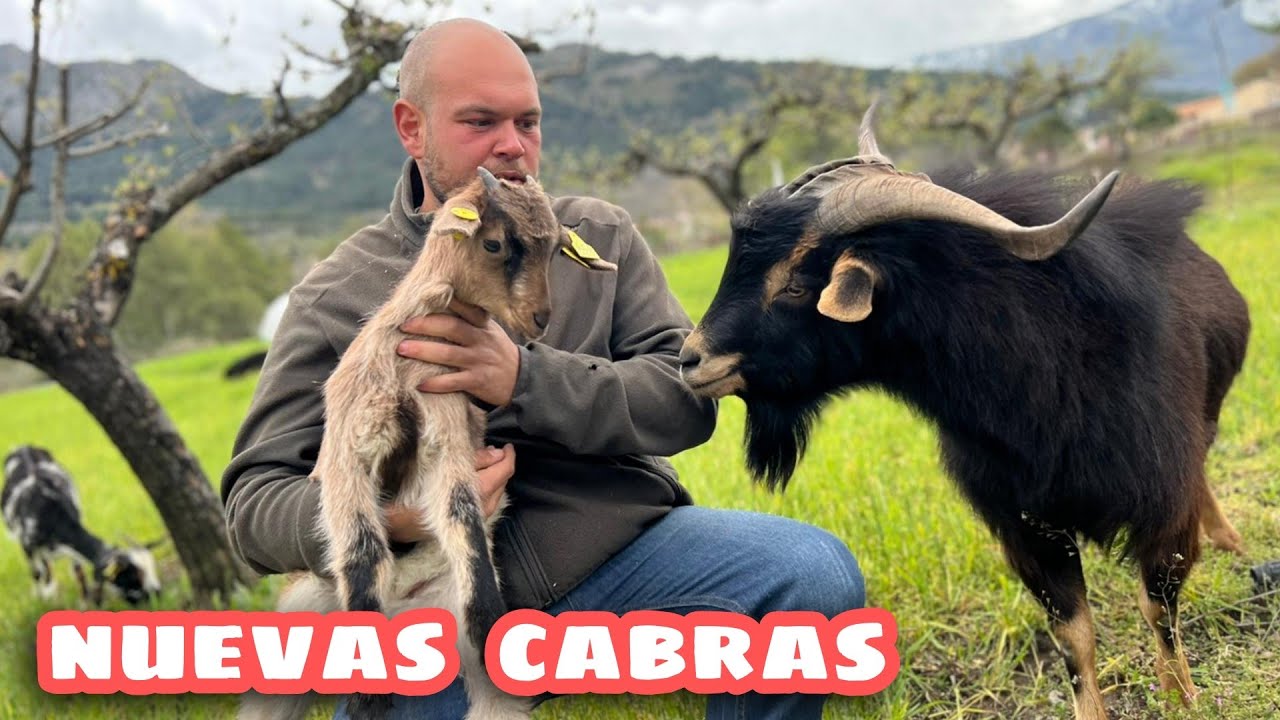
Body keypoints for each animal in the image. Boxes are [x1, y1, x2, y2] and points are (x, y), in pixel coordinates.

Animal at [2, 445, 162, 606]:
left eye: (153, 569)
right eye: (133, 577)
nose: (158, 594)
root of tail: (23, 447)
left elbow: (78, 572)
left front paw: (84, 604)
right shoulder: (26, 543)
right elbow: (38, 573)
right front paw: (43, 598)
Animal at [238, 167, 615, 720]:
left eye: (554, 251)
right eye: (495, 242)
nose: (540, 317)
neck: (403, 369)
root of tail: (404, 611)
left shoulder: (448, 439)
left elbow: (464, 520)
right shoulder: (348, 457)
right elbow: (361, 549)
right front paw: (369, 695)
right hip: (300, 606)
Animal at [678, 106, 1249, 720]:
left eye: (795, 282)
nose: (691, 359)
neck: (1047, 366)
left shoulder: (1161, 498)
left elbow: (1159, 607)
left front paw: (1184, 698)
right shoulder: (1024, 524)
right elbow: (1073, 636)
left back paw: (1229, 539)